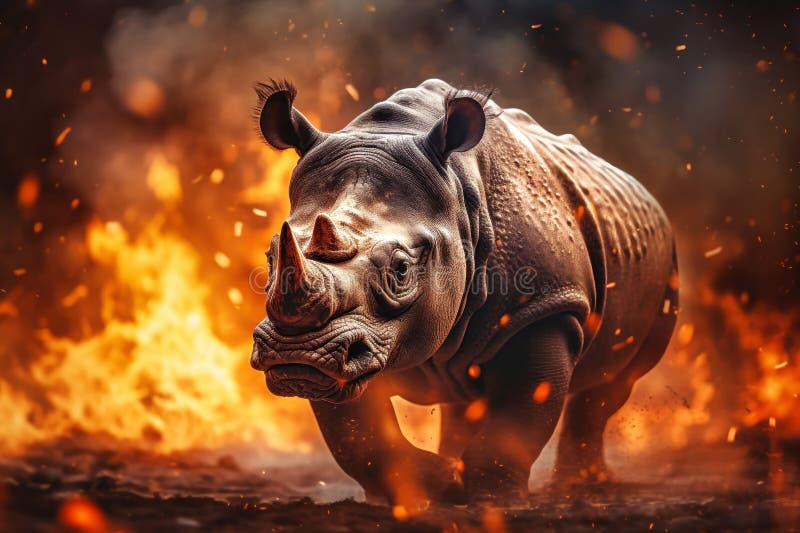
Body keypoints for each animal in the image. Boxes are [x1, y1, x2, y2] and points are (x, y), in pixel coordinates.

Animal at [250, 79, 678, 504]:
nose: (296, 353)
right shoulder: (345, 344)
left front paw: (494, 501)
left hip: (666, 265)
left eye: (401, 269)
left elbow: (515, 424)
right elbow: (360, 439)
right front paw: (431, 488)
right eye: (272, 258)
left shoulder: (545, 306)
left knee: (615, 383)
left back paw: (578, 487)